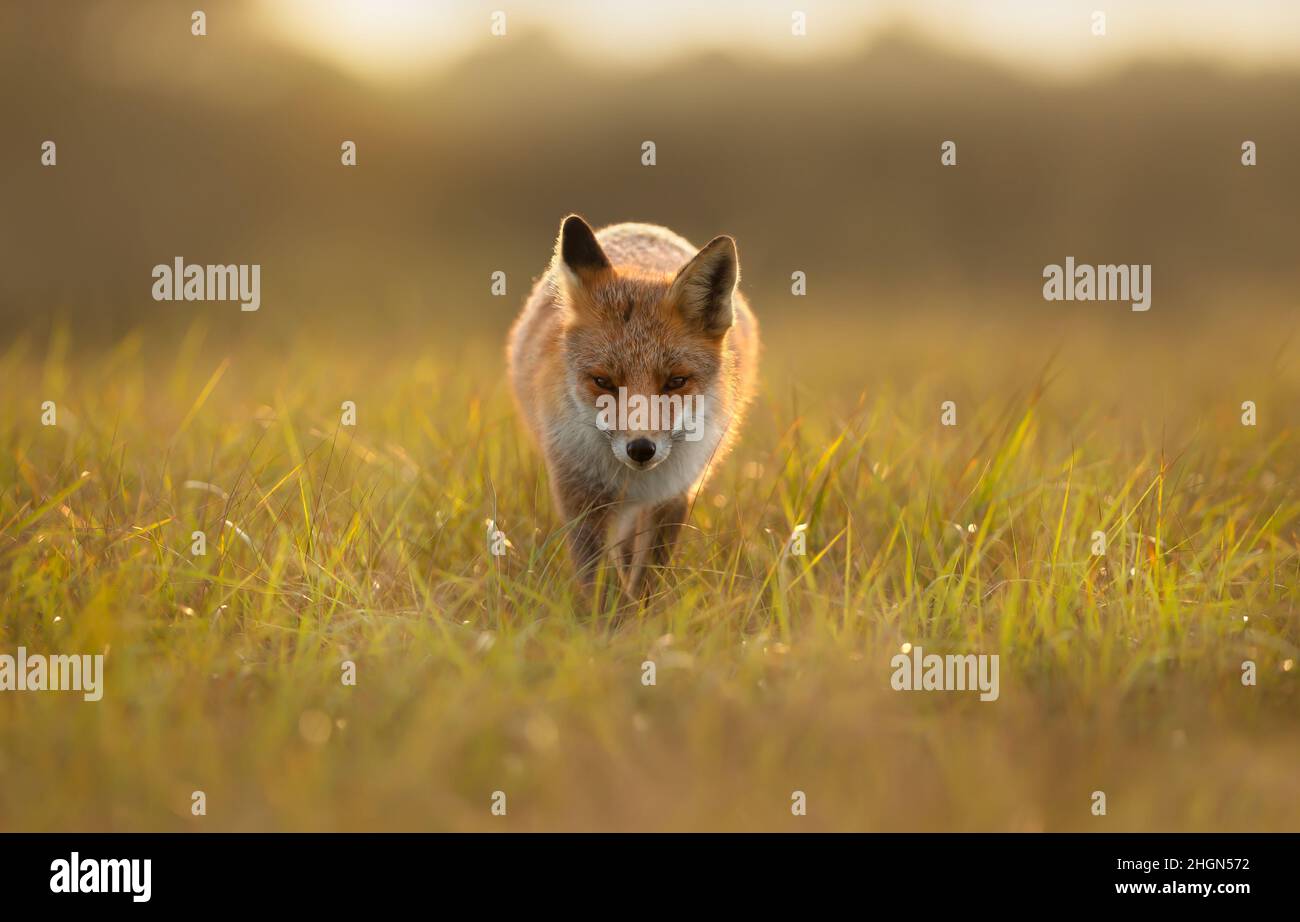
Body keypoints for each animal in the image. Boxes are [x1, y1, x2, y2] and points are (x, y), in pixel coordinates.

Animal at [507, 215, 759, 598]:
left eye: (675, 381)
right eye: (603, 382)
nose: (641, 448)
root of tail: (638, 226)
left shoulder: (671, 495)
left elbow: (647, 576)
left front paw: (639, 611)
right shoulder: (577, 490)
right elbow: (597, 575)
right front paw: (606, 611)